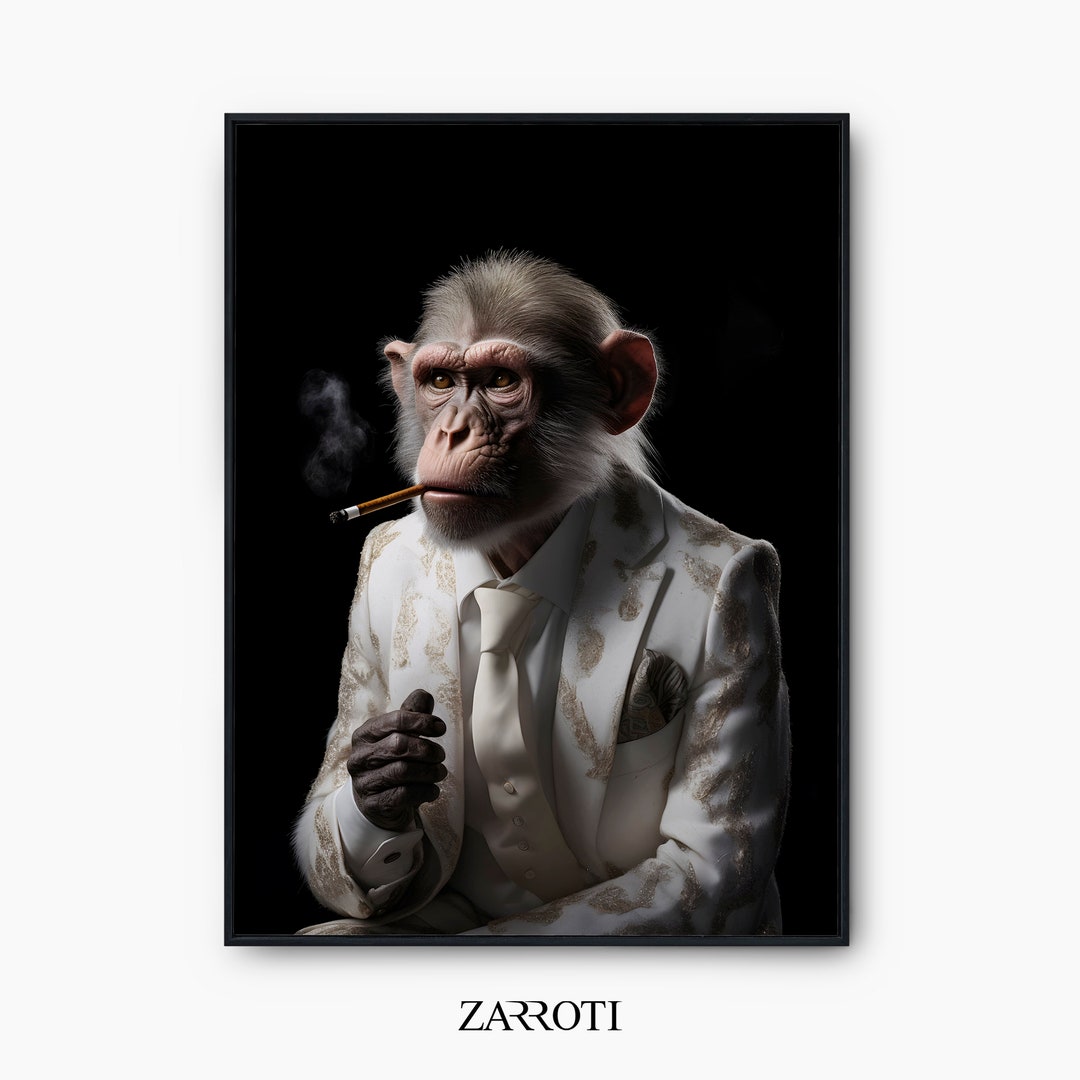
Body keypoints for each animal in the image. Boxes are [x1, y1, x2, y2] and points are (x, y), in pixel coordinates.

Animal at [293, 251, 791, 937]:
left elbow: (703, 866)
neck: (514, 569)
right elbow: (324, 830)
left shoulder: (743, 608)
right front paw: (382, 771)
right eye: (440, 380)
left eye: (501, 380)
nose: (451, 431)